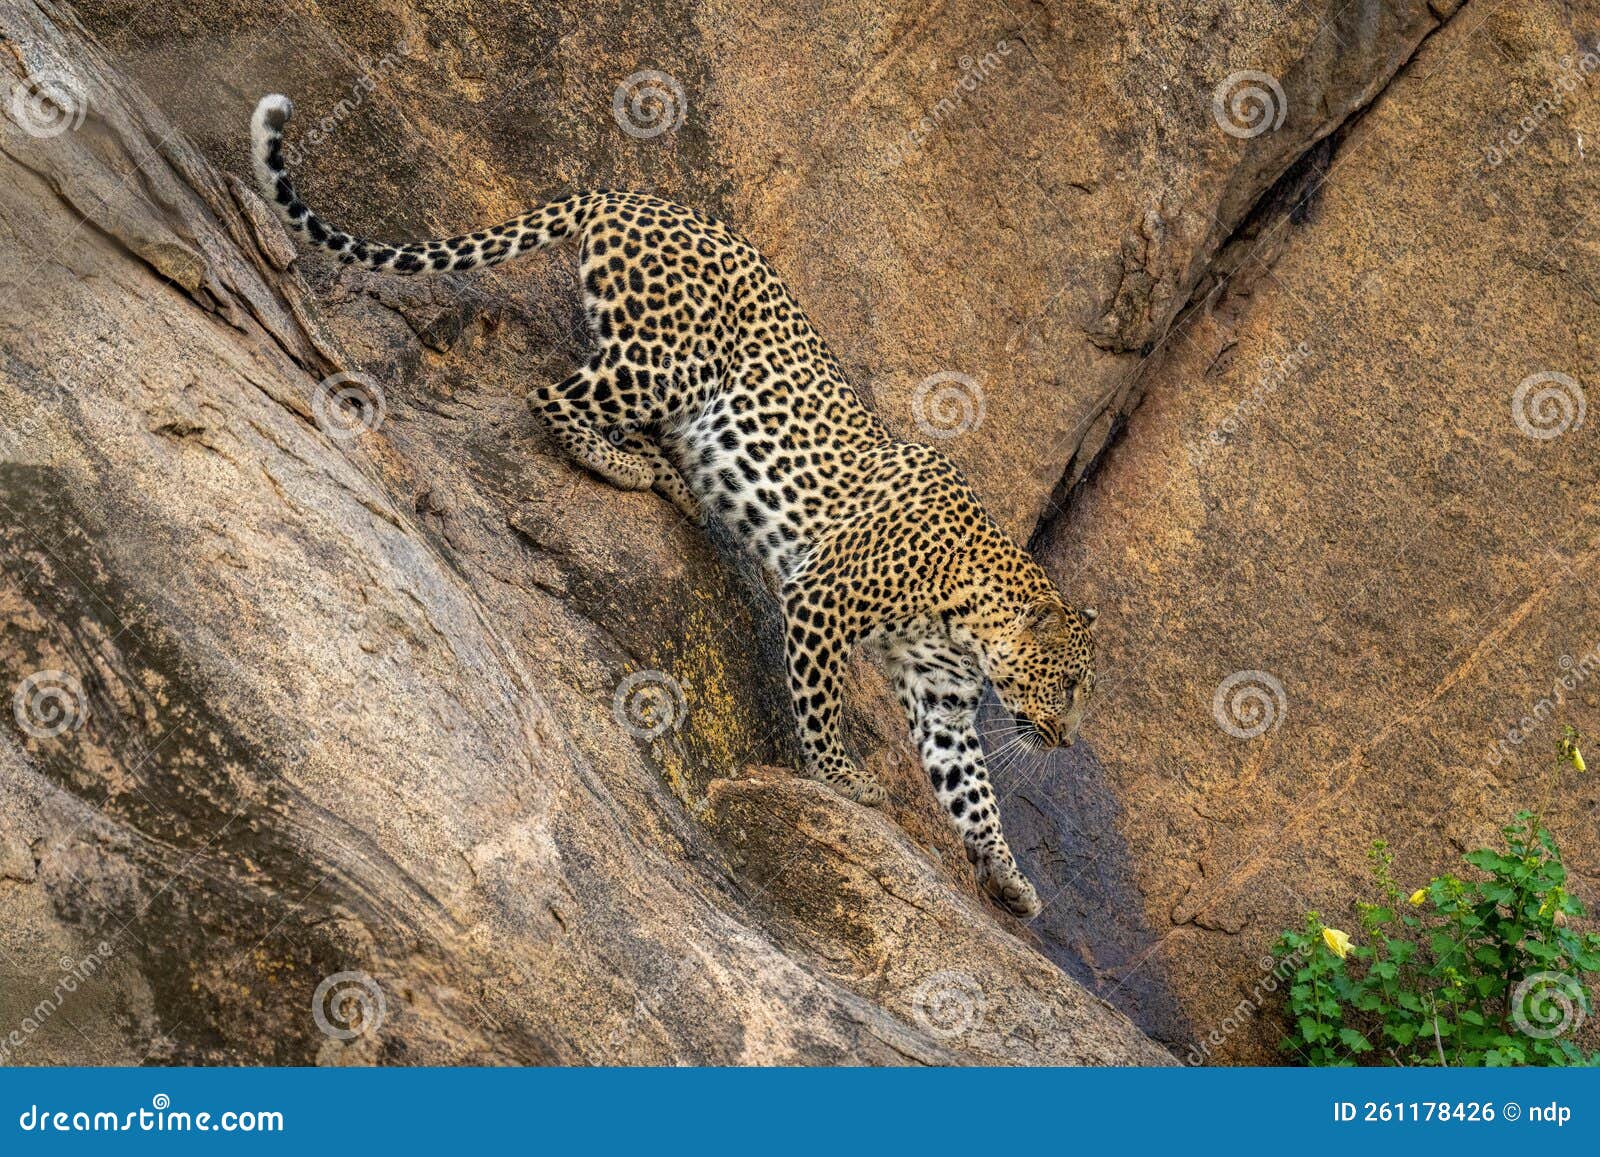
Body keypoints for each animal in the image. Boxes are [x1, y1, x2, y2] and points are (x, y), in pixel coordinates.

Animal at [250, 94, 1098, 919]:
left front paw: (1008, 874)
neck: (969, 618)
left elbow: (973, 791)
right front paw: (841, 777)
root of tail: (629, 193)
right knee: (551, 394)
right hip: (670, 361)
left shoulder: (941, 700)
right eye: (1066, 684)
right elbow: (818, 703)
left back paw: (675, 478)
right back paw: (625, 467)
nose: (1062, 740)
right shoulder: (822, 599)